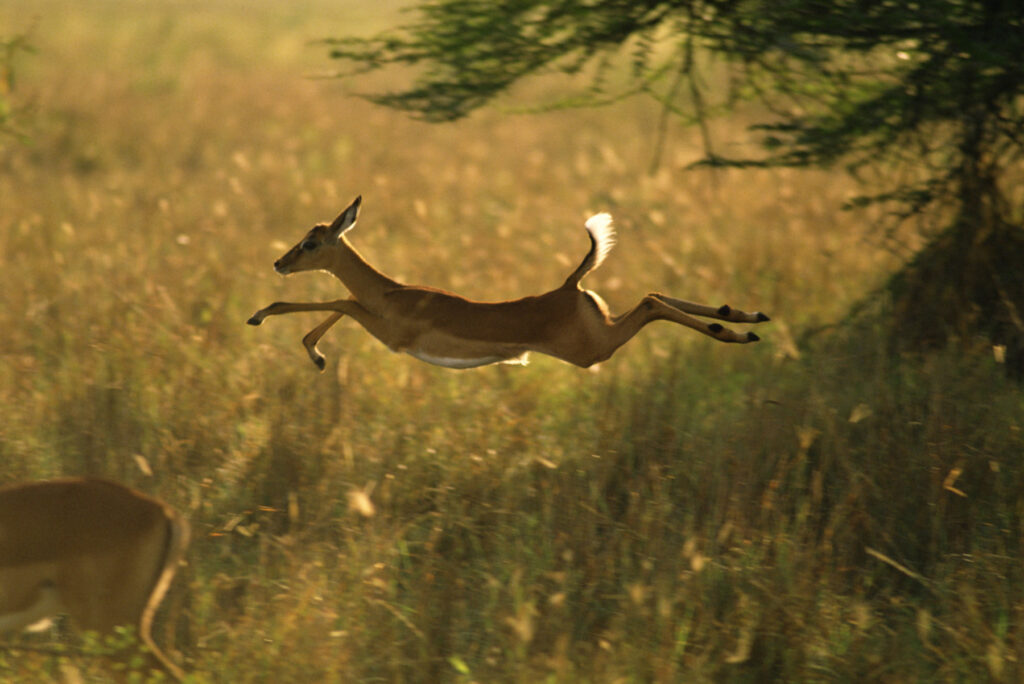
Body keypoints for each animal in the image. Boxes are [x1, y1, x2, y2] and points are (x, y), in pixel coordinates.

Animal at [247, 195, 769, 370]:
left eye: (311, 243)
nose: (278, 262)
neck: (393, 292)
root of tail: (569, 288)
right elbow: (340, 301)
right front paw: (316, 356)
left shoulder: (389, 332)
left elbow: (340, 299)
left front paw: (261, 316)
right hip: (602, 330)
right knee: (654, 294)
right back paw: (748, 317)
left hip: (594, 349)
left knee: (651, 302)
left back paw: (736, 332)